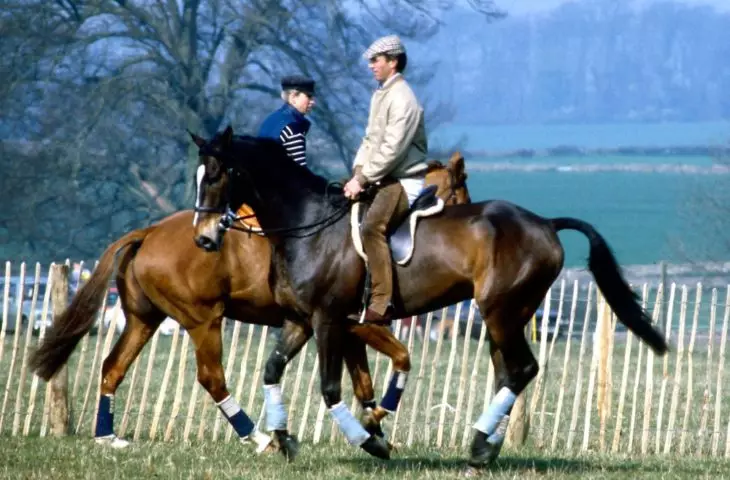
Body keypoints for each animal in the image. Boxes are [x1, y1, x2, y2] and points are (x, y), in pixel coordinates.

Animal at [28, 152, 470, 460]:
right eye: (459, 191)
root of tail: (150, 232)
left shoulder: (341, 329)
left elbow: (364, 384)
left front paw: (373, 434)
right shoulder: (353, 325)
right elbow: (387, 365)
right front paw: (370, 432)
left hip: (143, 321)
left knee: (113, 367)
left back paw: (108, 437)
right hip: (204, 321)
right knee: (212, 378)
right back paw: (258, 438)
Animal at [191, 127, 668, 468]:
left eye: (217, 175)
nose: (204, 239)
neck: (307, 226)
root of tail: (545, 224)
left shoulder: (329, 320)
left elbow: (329, 387)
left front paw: (368, 441)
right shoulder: (300, 321)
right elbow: (272, 370)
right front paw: (283, 438)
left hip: (500, 311)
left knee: (522, 369)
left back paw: (479, 445)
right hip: (506, 317)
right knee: (507, 371)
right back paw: (485, 447)